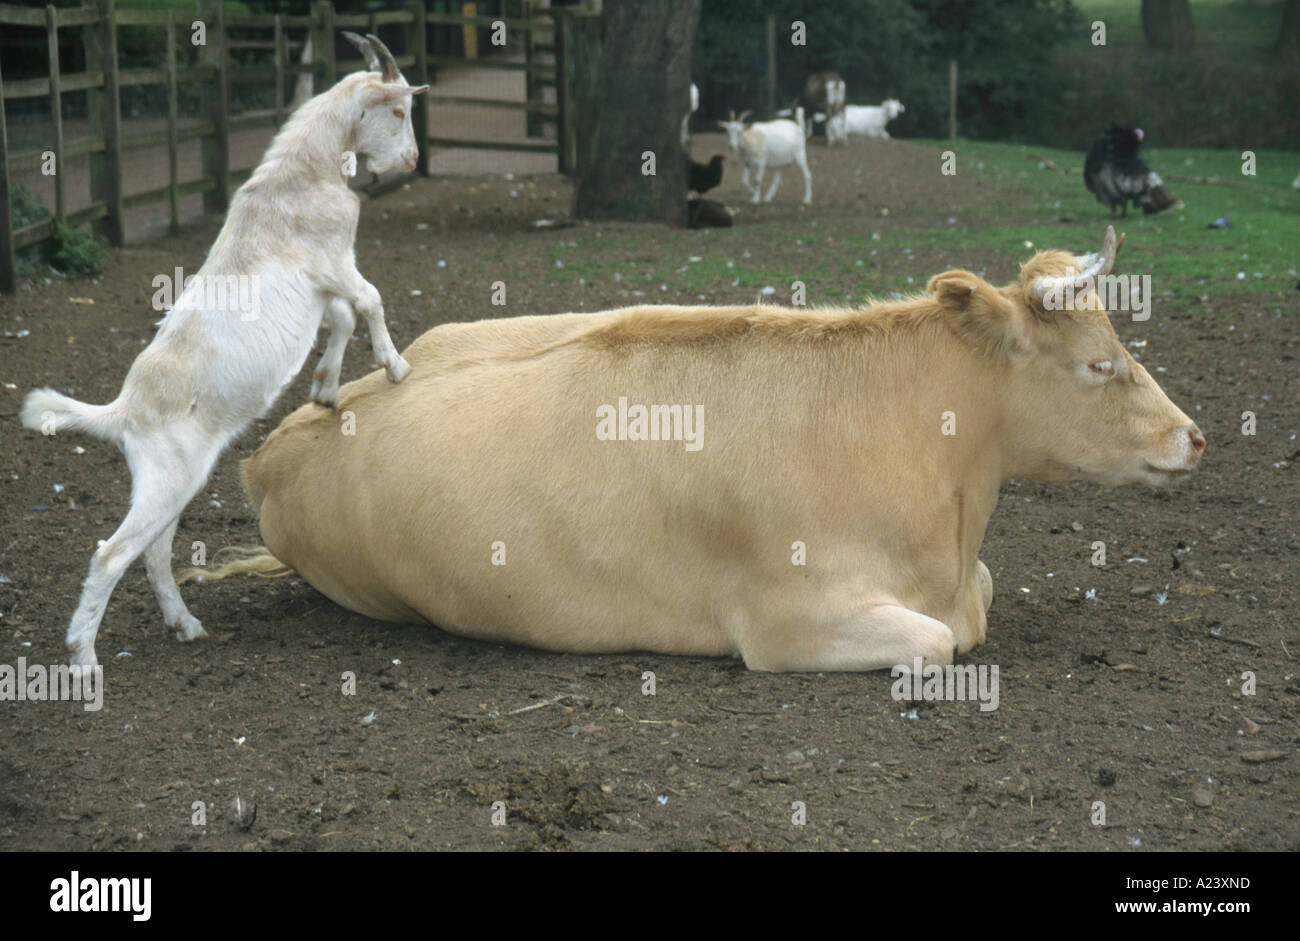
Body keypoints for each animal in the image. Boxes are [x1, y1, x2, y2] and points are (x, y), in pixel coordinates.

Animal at [19, 32, 428, 669]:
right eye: (400, 110)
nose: (410, 162)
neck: (303, 174)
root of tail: (123, 413)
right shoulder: (334, 259)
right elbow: (370, 299)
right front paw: (395, 365)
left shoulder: (319, 286)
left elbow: (341, 317)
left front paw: (326, 388)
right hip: (169, 478)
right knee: (112, 553)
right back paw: (83, 657)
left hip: (168, 482)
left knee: (154, 550)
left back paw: (184, 625)